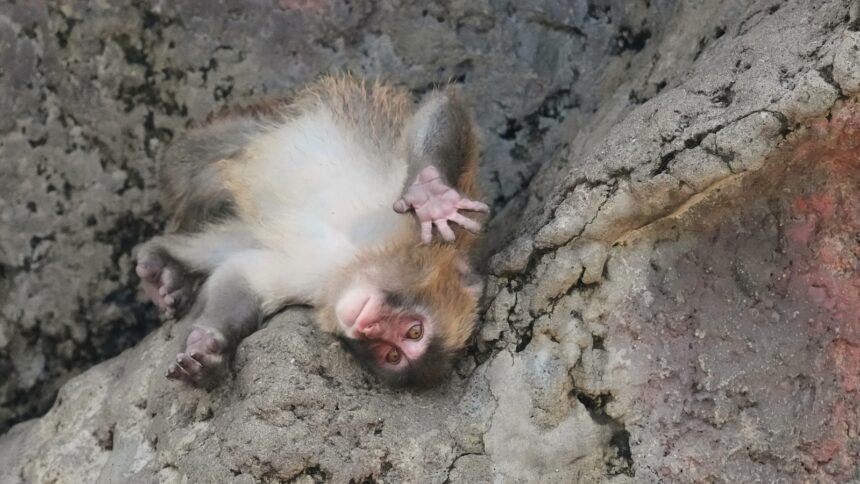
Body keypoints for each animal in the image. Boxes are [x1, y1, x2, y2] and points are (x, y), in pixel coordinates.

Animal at [135, 75, 489, 388]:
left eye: (392, 354)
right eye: (414, 331)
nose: (368, 327)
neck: (358, 258)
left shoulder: (316, 288)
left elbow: (242, 276)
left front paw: (208, 350)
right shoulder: (426, 233)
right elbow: (442, 106)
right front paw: (431, 195)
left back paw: (167, 268)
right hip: (258, 125)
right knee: (193, 167)